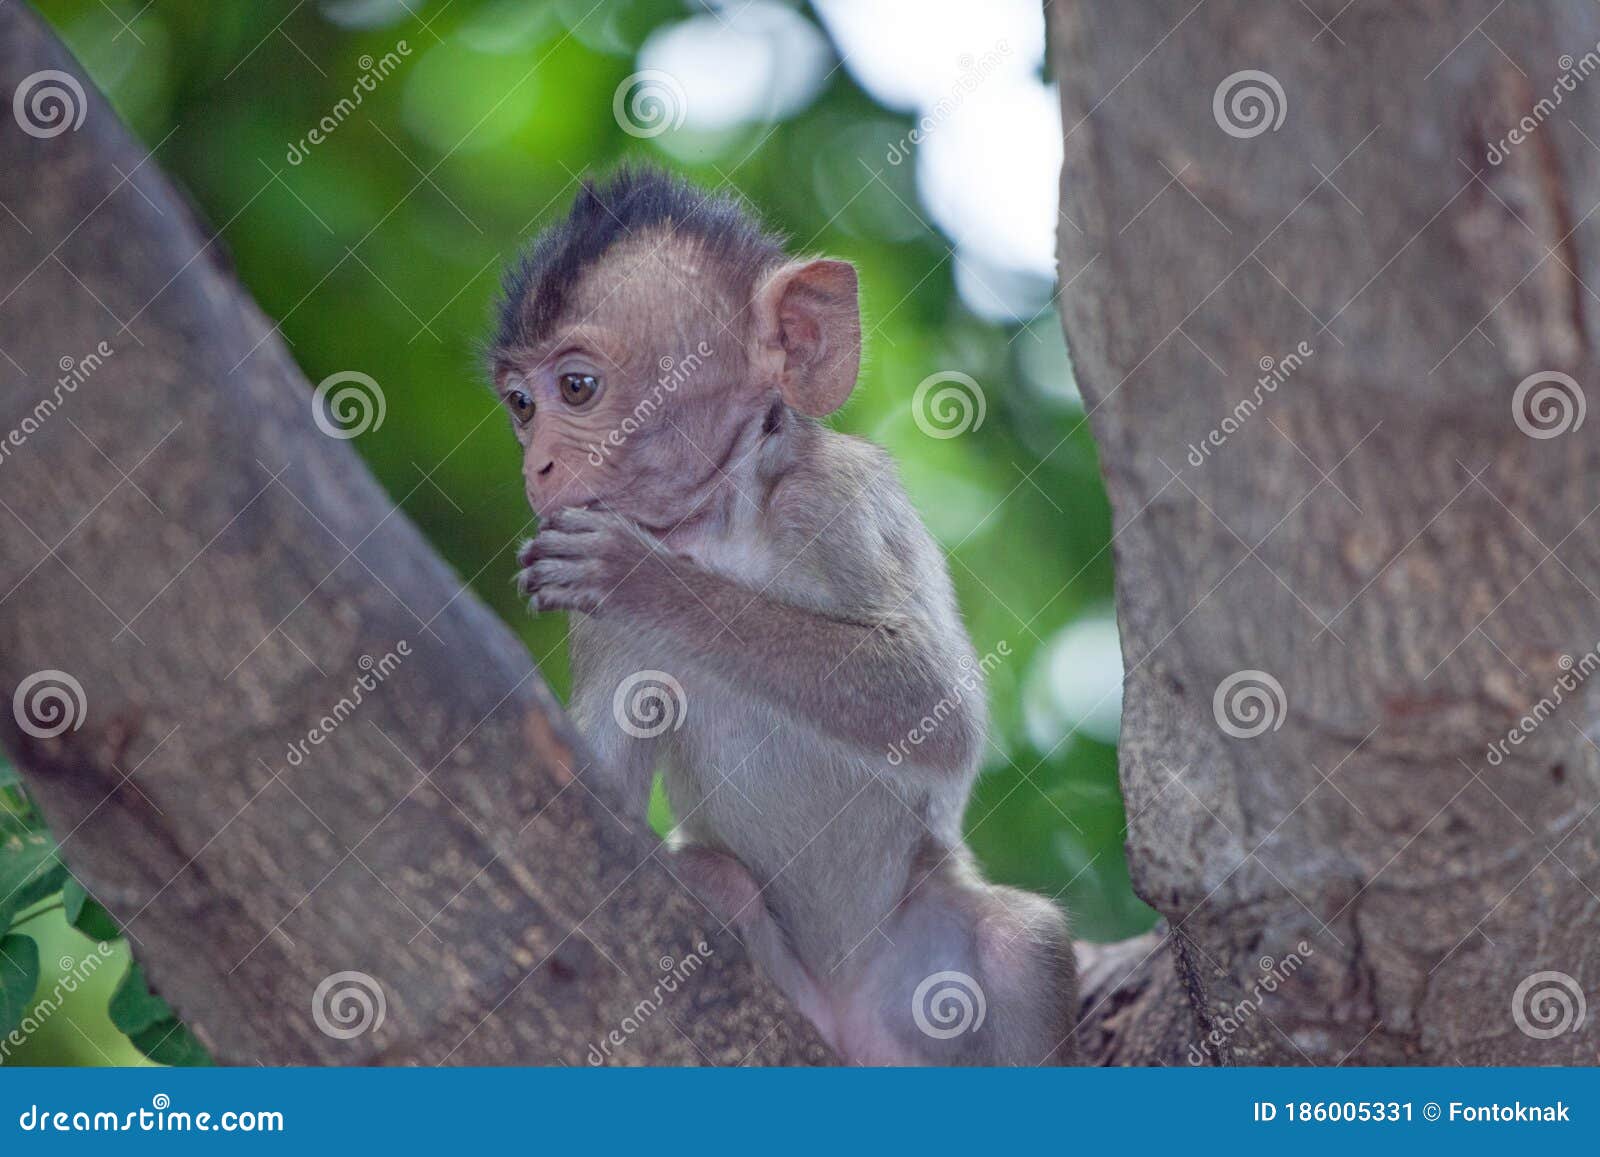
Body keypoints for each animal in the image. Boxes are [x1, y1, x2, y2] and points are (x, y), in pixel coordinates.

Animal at [491, 165, 1076, 1065]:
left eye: (577, 388)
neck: (719, 521)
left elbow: (935, 707)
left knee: (1021, 939)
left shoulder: (831, 500)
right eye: (521, 404)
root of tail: (850, 1013)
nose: (538, 465)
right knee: (715, 877)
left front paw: (645, 577)